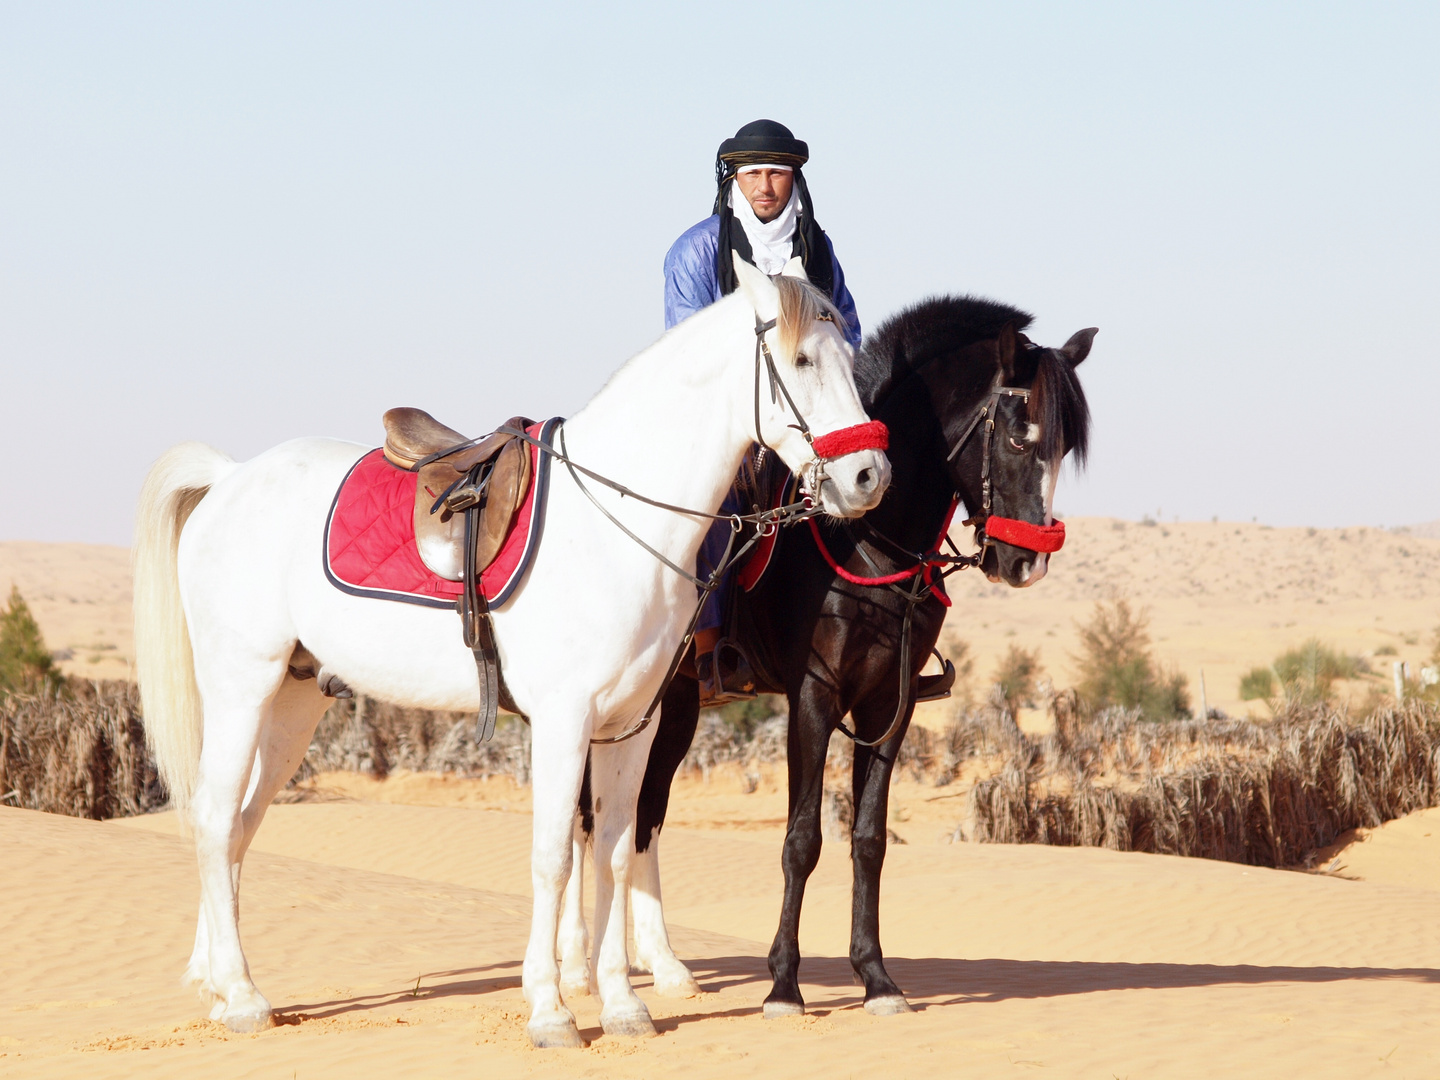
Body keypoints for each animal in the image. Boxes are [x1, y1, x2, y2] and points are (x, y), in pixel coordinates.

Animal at [135, 256, 887, 1048]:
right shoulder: (563, 723)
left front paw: (622, 1004)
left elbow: (614, 852)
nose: (870, 477)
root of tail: (229, 477)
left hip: (294, 702)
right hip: (241, 690)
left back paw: (219, 987)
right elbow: (554, 857)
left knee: (241, 825)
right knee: (216, 819)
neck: (613, 523)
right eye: (801, 362)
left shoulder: (632, 726)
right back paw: (243, 995)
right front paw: (552, 1008)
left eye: (850, 361)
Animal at [578, 293, 1082, 1013]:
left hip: (672, 710)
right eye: (1019, 437)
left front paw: (876, 976)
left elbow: (868, 840)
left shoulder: (888, 706)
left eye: (1065, 446)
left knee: (642, 815)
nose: (1026, 562)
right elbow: (802, 838)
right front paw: (784, 982)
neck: (866, 540)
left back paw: (664, 966)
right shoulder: (813, 698)